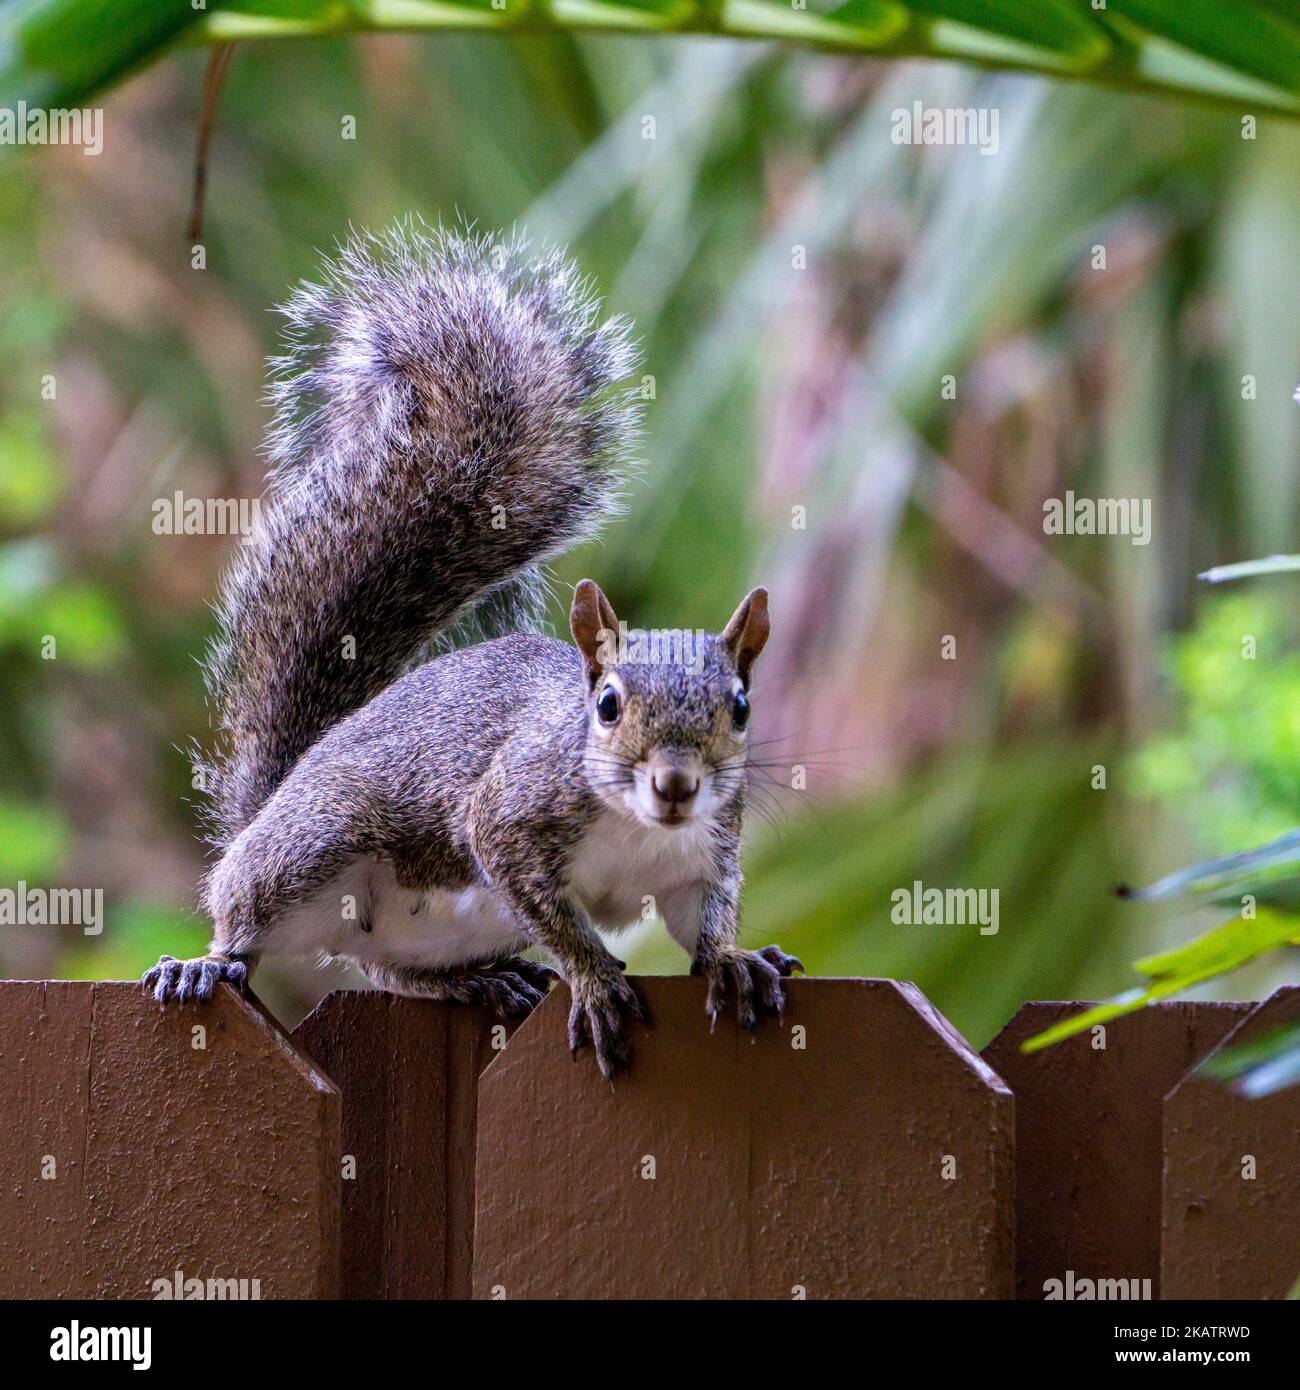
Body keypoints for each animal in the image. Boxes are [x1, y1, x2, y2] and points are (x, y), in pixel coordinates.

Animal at [144, 222, 802, 1077]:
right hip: (311, 844)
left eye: (742, 707)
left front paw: (733, 960)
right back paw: (208, 965)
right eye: (608, 704)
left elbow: (705, 921)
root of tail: (272, 803)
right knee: (245, 925)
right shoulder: (506, 814)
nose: (676, 785)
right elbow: (549, 908)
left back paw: (480, 981)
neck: (639, 828)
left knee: (386, 965)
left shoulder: (703, 858)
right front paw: (595, 979)